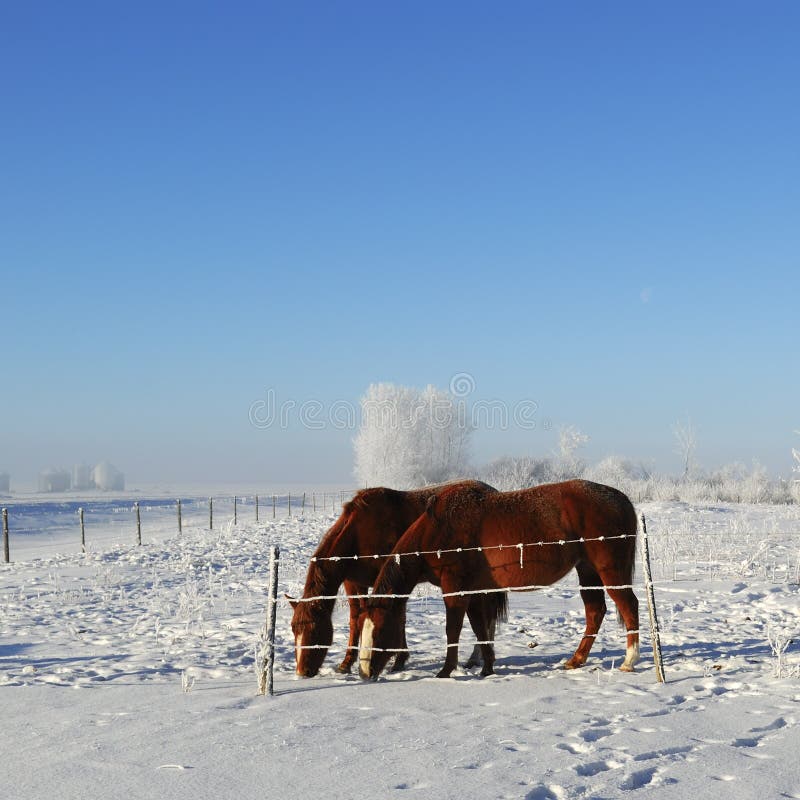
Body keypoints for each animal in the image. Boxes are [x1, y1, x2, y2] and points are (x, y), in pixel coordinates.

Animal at [288, 480, 507, 677]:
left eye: (314, 629)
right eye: (294, 630)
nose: (302, 672)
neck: (358, 533)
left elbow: (399, 618)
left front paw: (399, 660)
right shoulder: (354, 583)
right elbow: (355, 619)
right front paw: (347, 663)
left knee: (488, 618)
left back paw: (476, 658)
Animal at [359, 479, 639, 680]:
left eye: (380, 629)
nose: (364, 673)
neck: (437, 529)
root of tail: (621, 498)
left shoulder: (454, 589)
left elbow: (453, 630)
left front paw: (446, 671)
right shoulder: (473, 592)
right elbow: (479, 628)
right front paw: (487, 668)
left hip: (610, 572)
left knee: (628, 606)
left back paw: (629, 661)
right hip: (587, 571)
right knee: (595, 611)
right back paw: (576, 660)